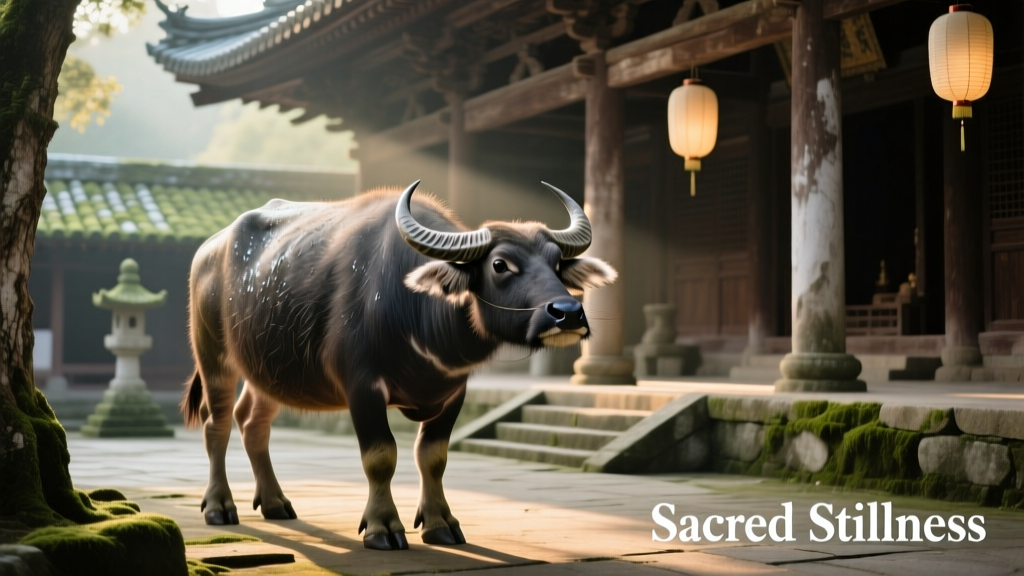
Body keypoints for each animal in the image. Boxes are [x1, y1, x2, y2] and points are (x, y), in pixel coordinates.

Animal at [182, 181, 616, 550]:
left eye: (557, 263)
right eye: (500, 264)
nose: (568, 312)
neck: (419, 315)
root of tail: (209, 250)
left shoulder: (454, 392)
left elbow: (433, 457)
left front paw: (441, 523)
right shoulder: (362, 388)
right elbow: (380, 457)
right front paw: (383, 528)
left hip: (270, 370)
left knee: (252, 422)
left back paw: (275, 502)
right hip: (214, 356)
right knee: (217, 425)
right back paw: (219, 507)